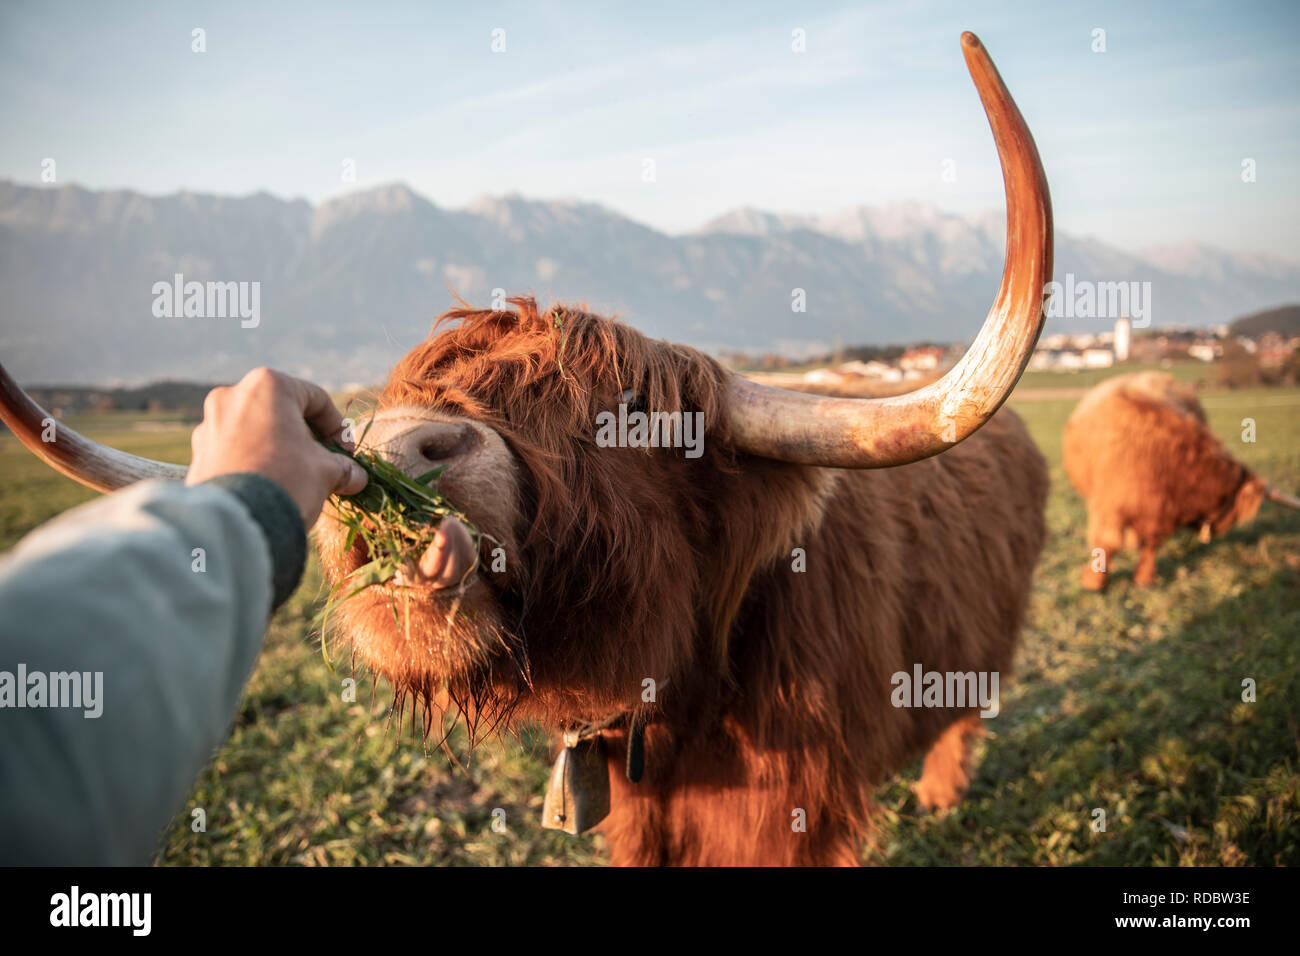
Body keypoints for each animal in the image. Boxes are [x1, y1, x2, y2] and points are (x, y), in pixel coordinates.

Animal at [0, 33, 1053, 865]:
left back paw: (942, 794)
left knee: (966, 712)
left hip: (984, 649)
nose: (402, 450)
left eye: (628, 411)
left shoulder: (797, 806)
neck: (691, 698)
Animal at [1064, 370, 1300, 590]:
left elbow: (1152, 545)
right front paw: (1093, 581)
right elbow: (1108, 543)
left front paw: (1145, 579)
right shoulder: (1109, 507)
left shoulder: (1163, 513)